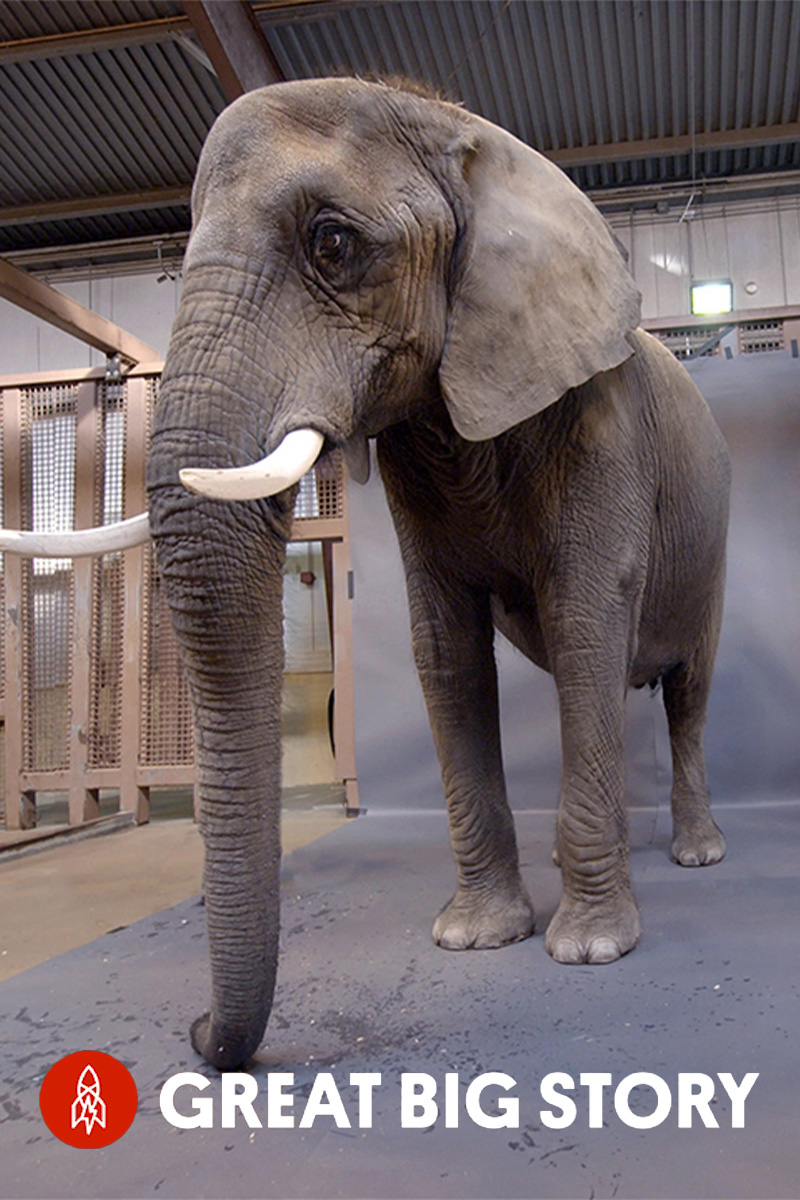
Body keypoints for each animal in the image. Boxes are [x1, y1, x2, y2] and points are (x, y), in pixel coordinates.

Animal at [0, 77, 730, 1072]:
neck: (457, 126)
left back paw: (698, 854)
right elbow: (444, 651)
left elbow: (584, 625)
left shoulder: (601, 424)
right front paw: (476, 937)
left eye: (334, 245)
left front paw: (589, 950)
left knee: (687, 690)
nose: (195, 1036)